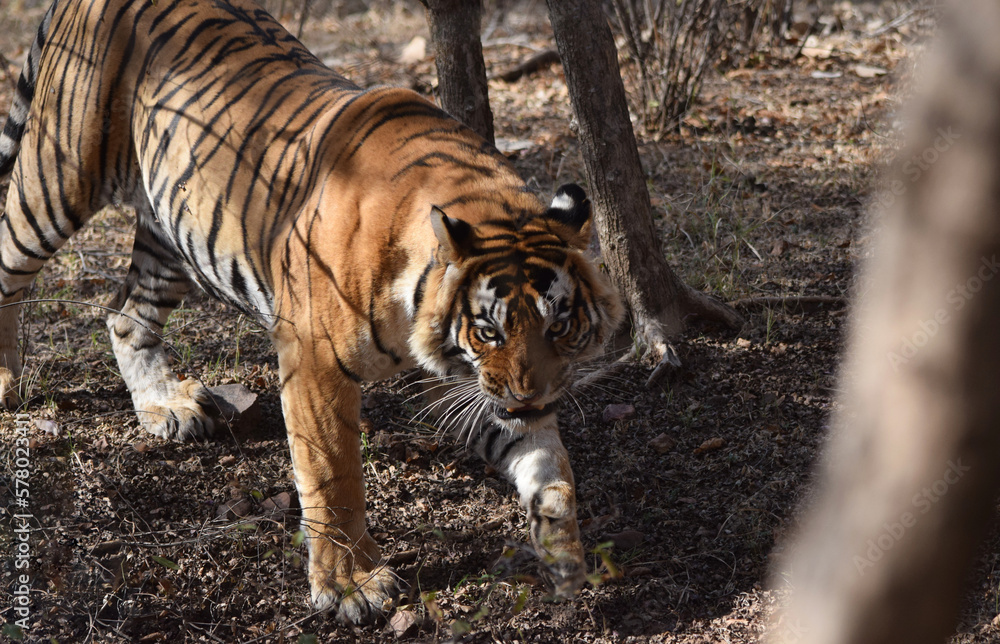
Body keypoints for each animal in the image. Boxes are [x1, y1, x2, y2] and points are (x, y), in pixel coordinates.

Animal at [0, 0, 624, 624]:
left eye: (558, 325)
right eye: (490, 329)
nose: (529, 396)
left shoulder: (463, 381)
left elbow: (551, 468)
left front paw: (565, 558)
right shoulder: (316, 363)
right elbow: (332, 475)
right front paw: (351, 586)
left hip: (171, 225)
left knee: (125, 314)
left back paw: (165, 407)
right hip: (56, 178)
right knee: (10, 260)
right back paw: (7, 381)